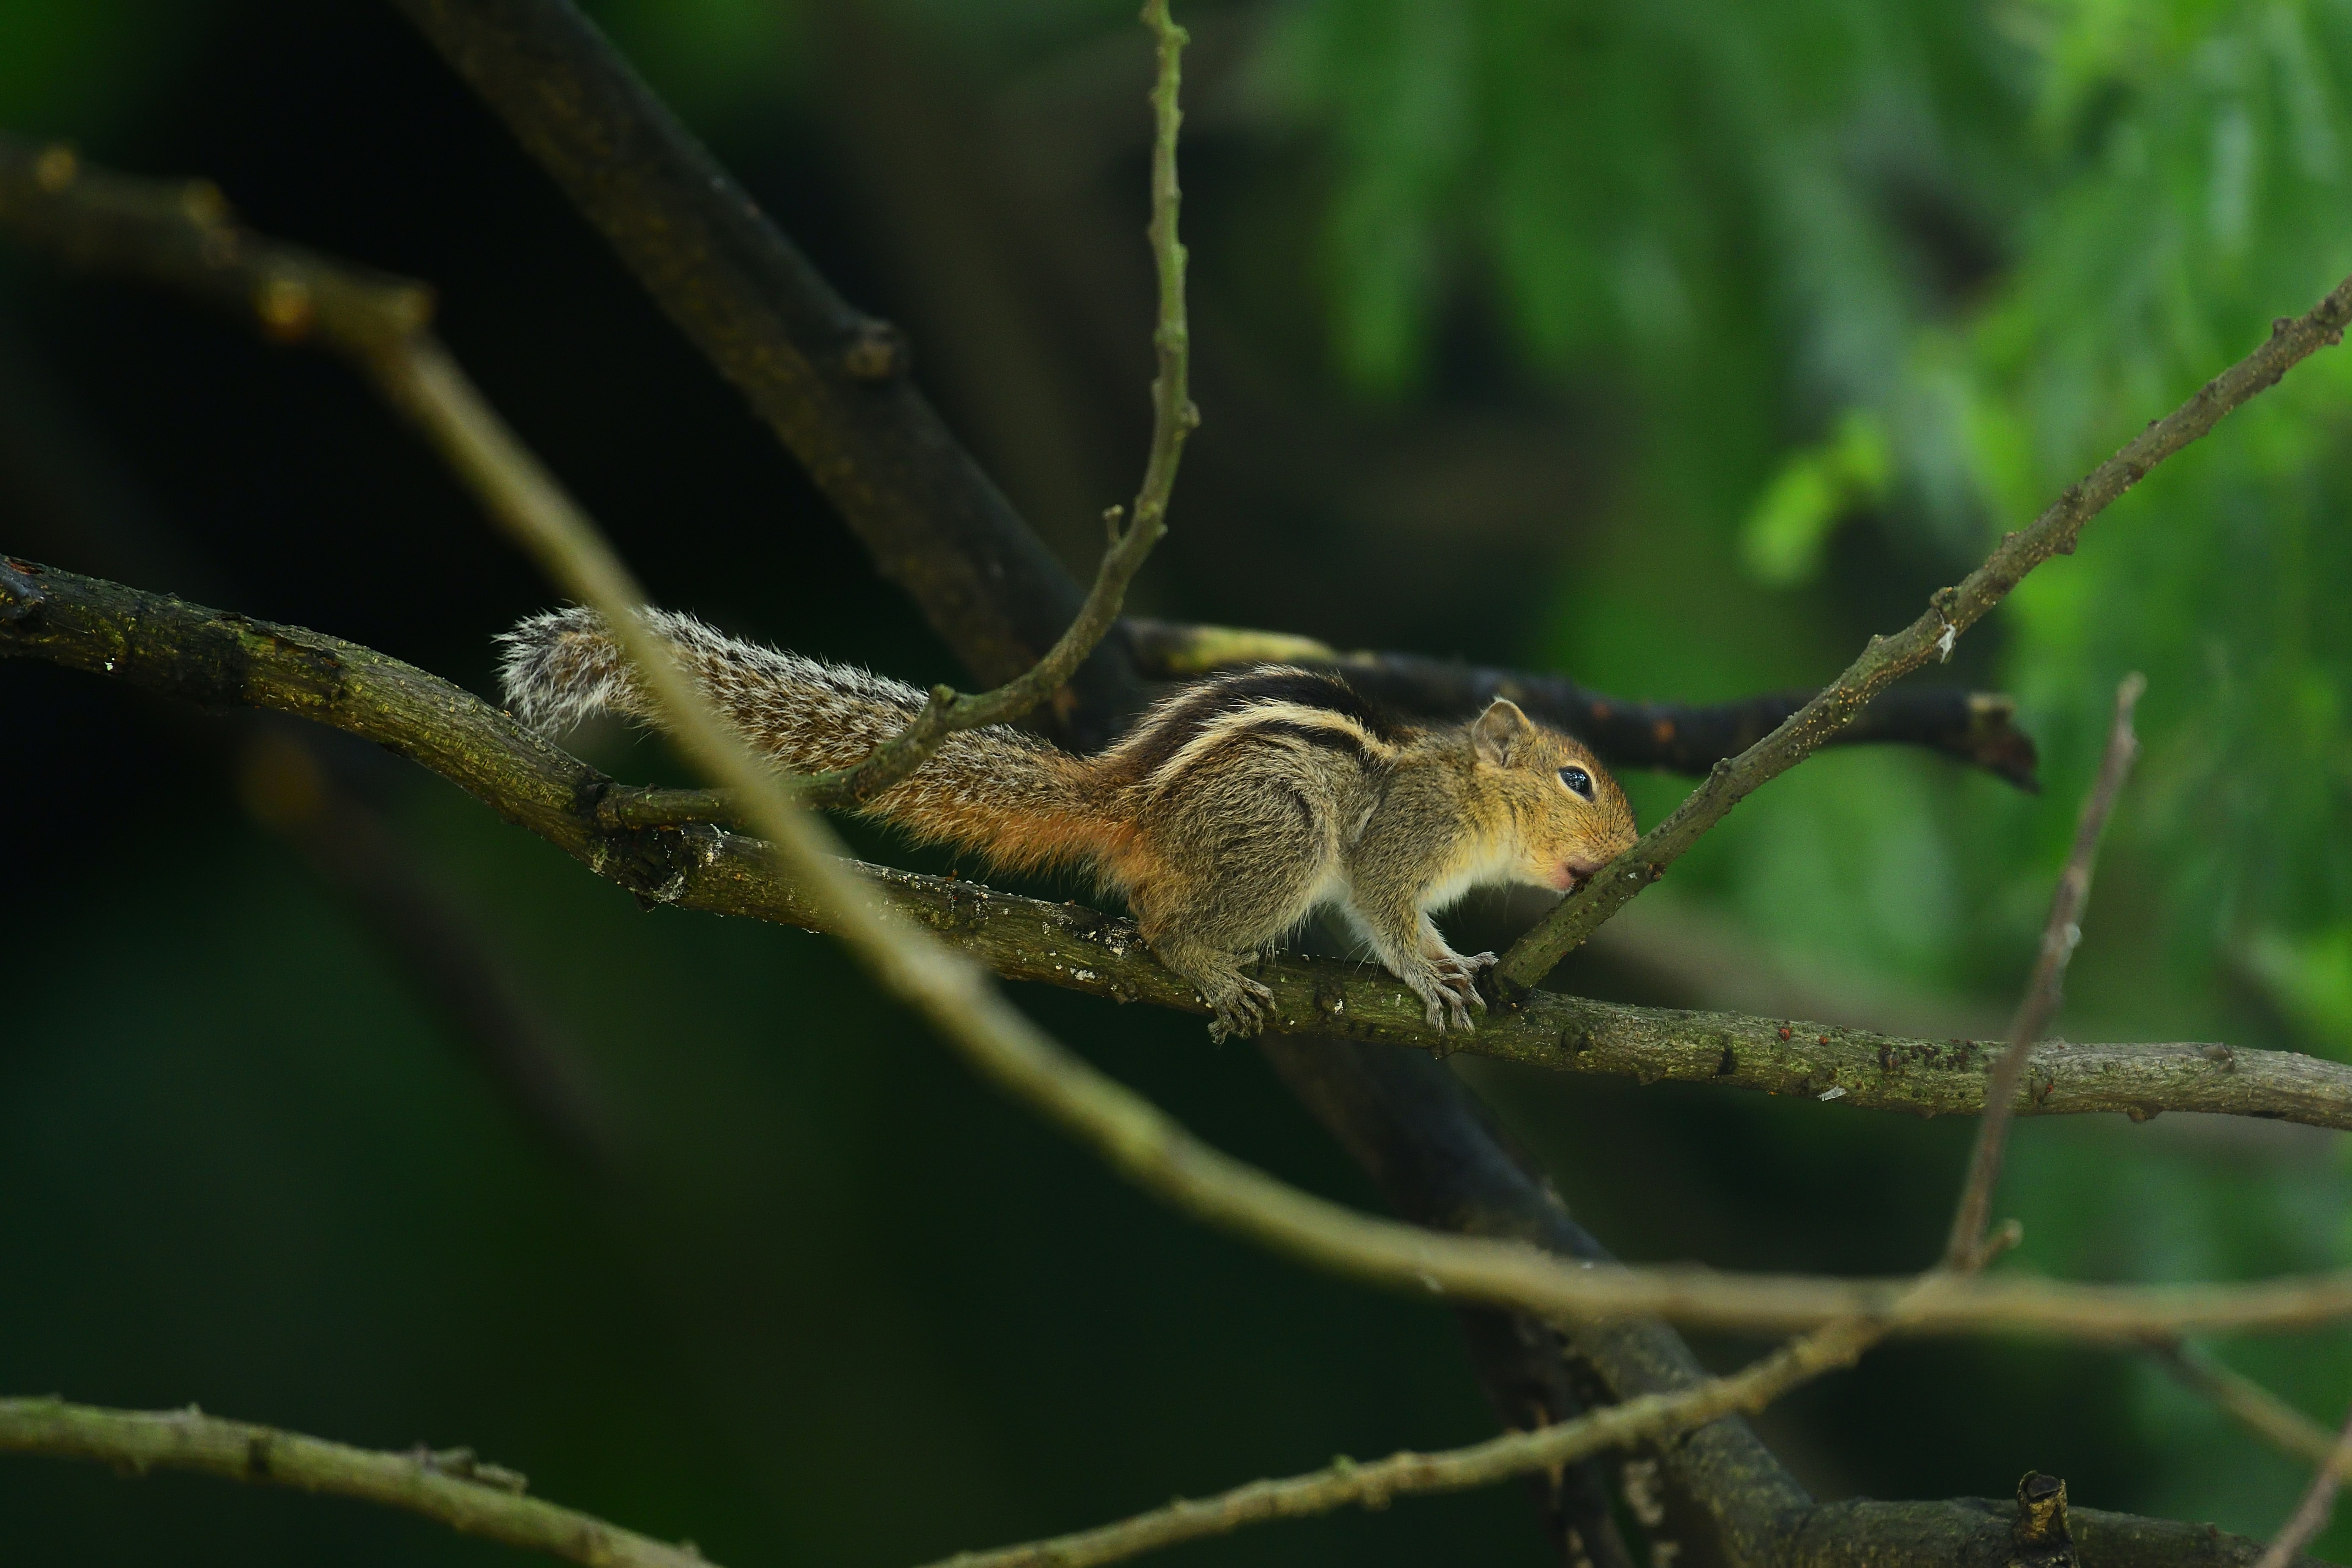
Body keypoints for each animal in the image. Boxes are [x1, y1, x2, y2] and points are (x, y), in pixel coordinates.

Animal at [498, 607, 1639, 1040]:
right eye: (1579, 779)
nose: (1631, 854)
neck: (1473, 791)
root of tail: (1126, 800)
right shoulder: (1402, 838)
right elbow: (1387, 910)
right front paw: (1439, 970)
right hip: (1283, 831)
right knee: (1165, 924)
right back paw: (1210, 961)